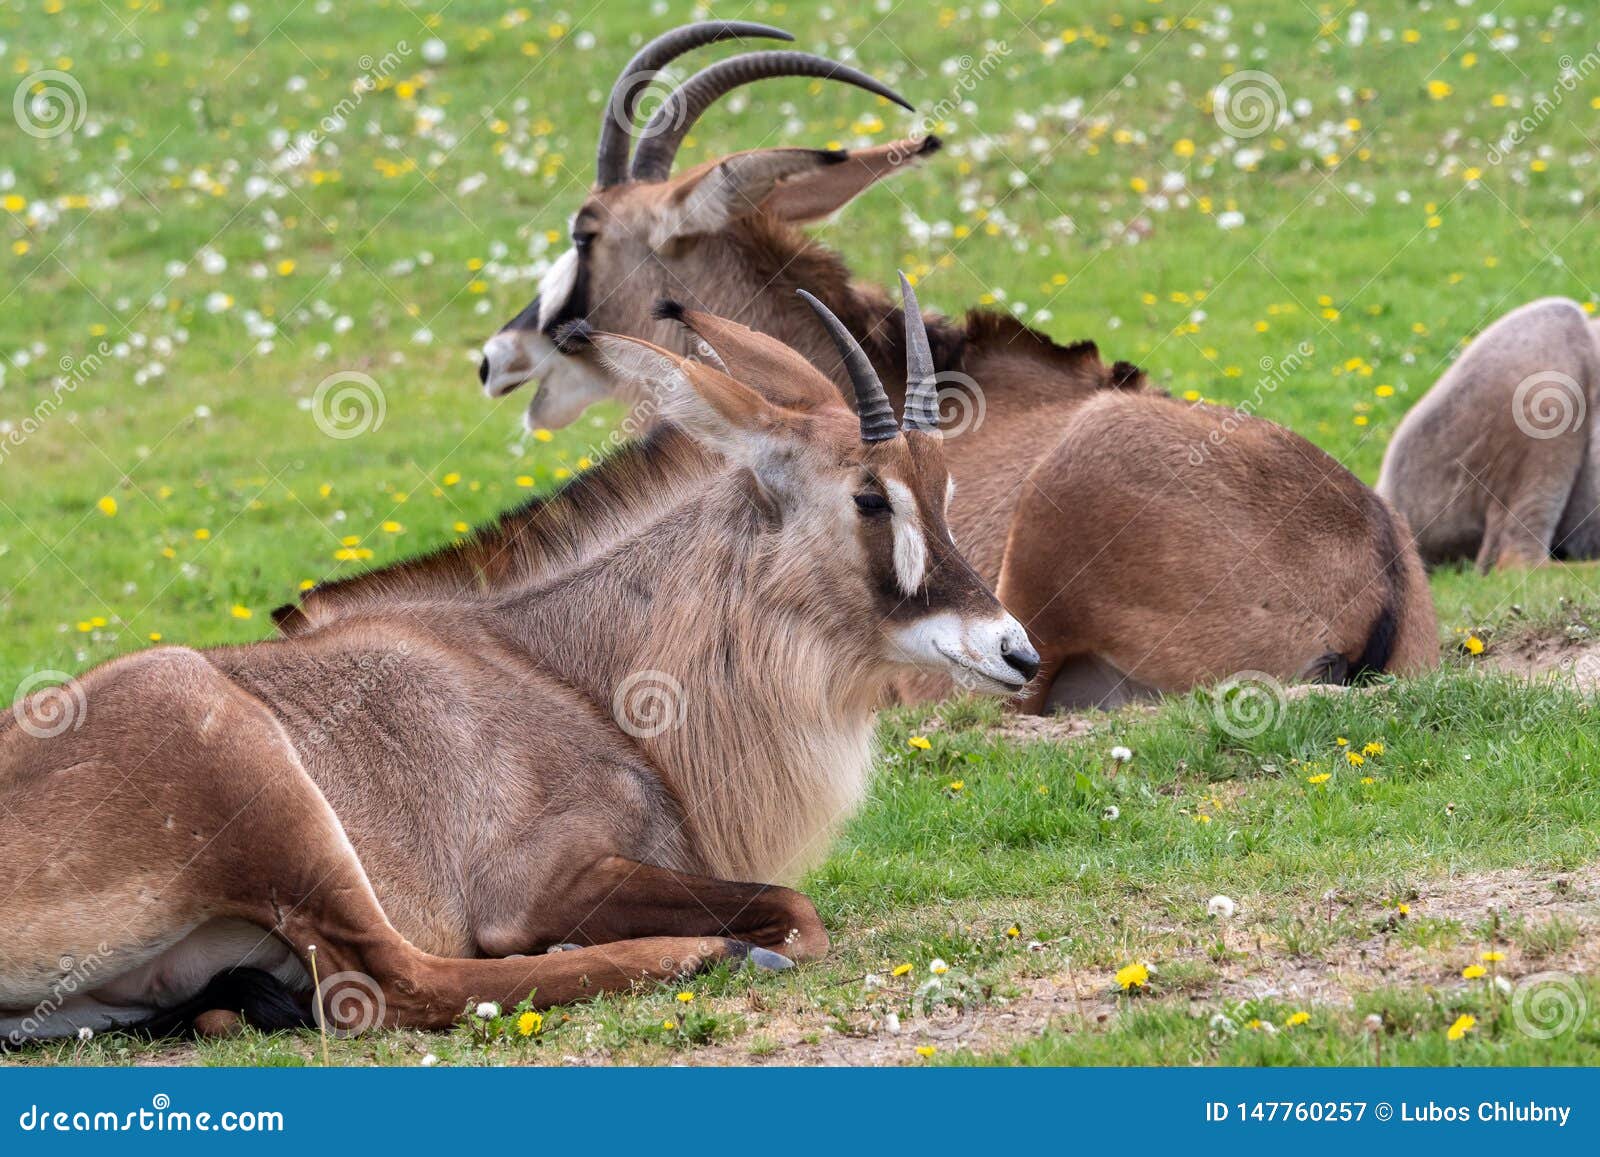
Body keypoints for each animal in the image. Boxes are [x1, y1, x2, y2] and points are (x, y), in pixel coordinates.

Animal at [1, 295, 1038, 1042]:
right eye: (871, 496)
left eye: (943, 489)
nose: (1016, 650)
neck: (578, 672)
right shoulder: (541, 880)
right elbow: (796, 908)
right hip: (256, 778)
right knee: (389, 986)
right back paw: (712, 952)